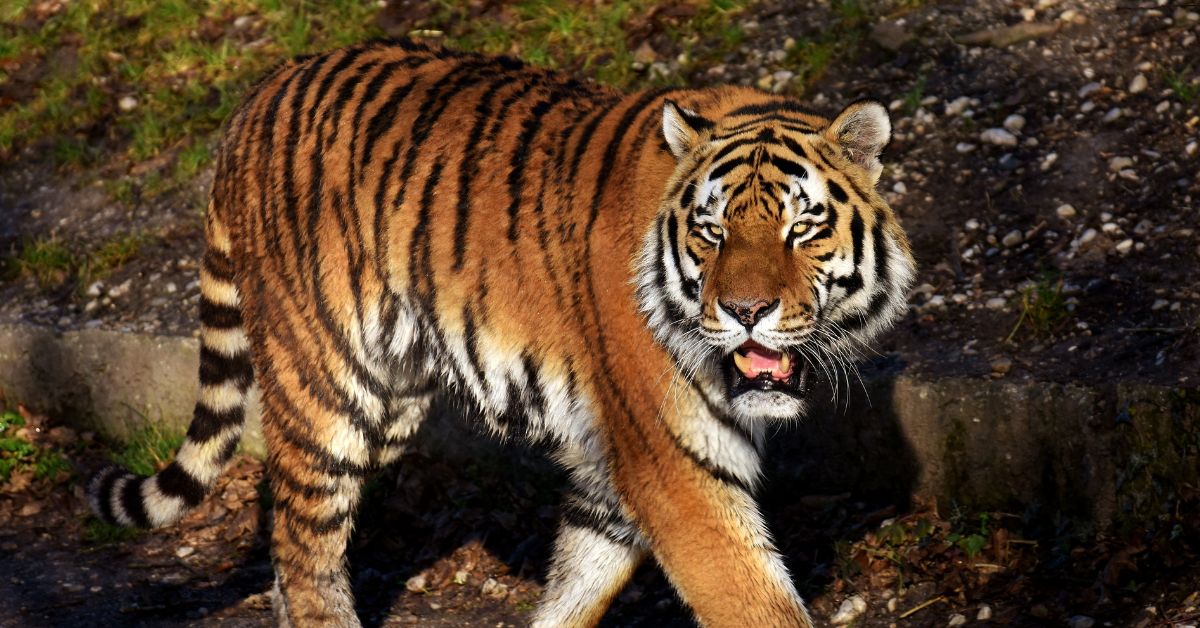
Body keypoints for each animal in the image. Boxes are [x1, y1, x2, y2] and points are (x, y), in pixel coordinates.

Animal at [88, 39, 915, 627]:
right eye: (711, 234)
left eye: (801, 229)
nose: (746, 311)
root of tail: (255, 98)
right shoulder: (675, 465)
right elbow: (755, 600)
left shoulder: (614, 475)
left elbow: (576, 586)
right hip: (326, 389)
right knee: (304, 550)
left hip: (392, 400)